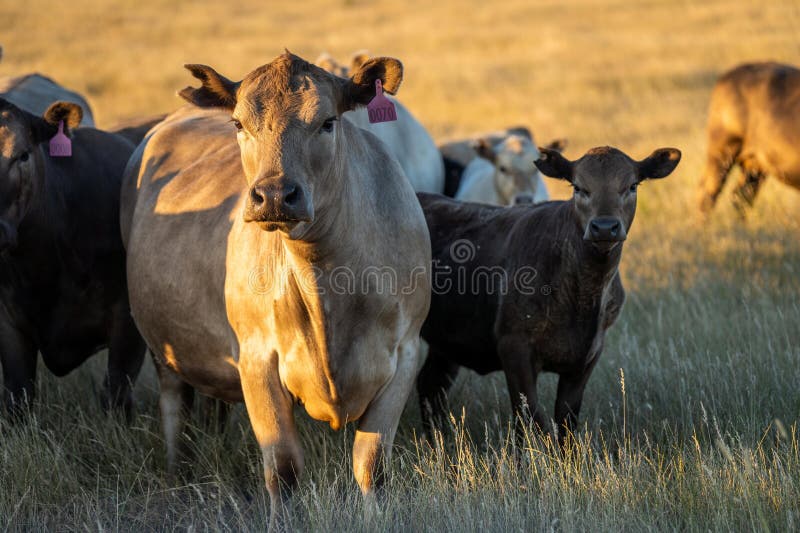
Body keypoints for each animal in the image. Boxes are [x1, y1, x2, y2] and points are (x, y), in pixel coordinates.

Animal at [121, 52, 431, 526]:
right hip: (161, 343)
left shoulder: (407, 353)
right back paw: (177, 475)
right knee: (175, 404)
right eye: (238, 124)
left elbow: (371, 464)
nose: (273, 196)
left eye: (327, 122)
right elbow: (282, 469)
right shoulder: (257, 358)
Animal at [416, 145, 680, 446]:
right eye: (578, 187)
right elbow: (532, 421)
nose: (604, 227)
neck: (583, 297)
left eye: (632, 186)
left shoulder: (587, 355)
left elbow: (566, 423)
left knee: (430, 385)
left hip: (448, 338)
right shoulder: (514, 346)